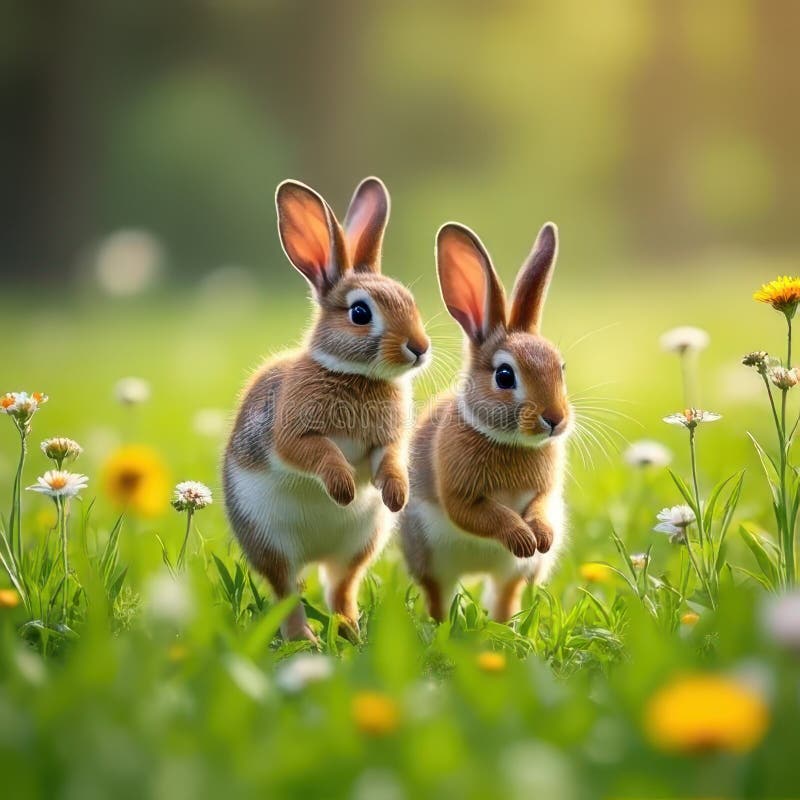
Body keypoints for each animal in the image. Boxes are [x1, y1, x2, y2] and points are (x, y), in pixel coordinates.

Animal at [223, 177, 430, 641]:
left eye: (411, 301)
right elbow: (316, 453)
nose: (420, 348)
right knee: (287, 592)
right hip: (270, 541)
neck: (356, 376)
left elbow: (389, 459)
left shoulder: (385, 442)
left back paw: (350, 634)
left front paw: (395, 493)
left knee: (341, 587)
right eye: (360, 312)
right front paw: (343, 490)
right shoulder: (291, 433)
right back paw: (307, 639)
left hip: (360, 544)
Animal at [400, 220, 570, 622]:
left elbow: (541, 505)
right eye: (505, 376)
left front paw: (540, 537)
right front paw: (522, 538)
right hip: (428, 557)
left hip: (513, 574)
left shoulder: (545, 492)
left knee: (506, 595)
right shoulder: (459, 491)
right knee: (438, 595)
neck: (509, 441)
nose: (555, 420)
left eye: (561, 368)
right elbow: (475, 514)